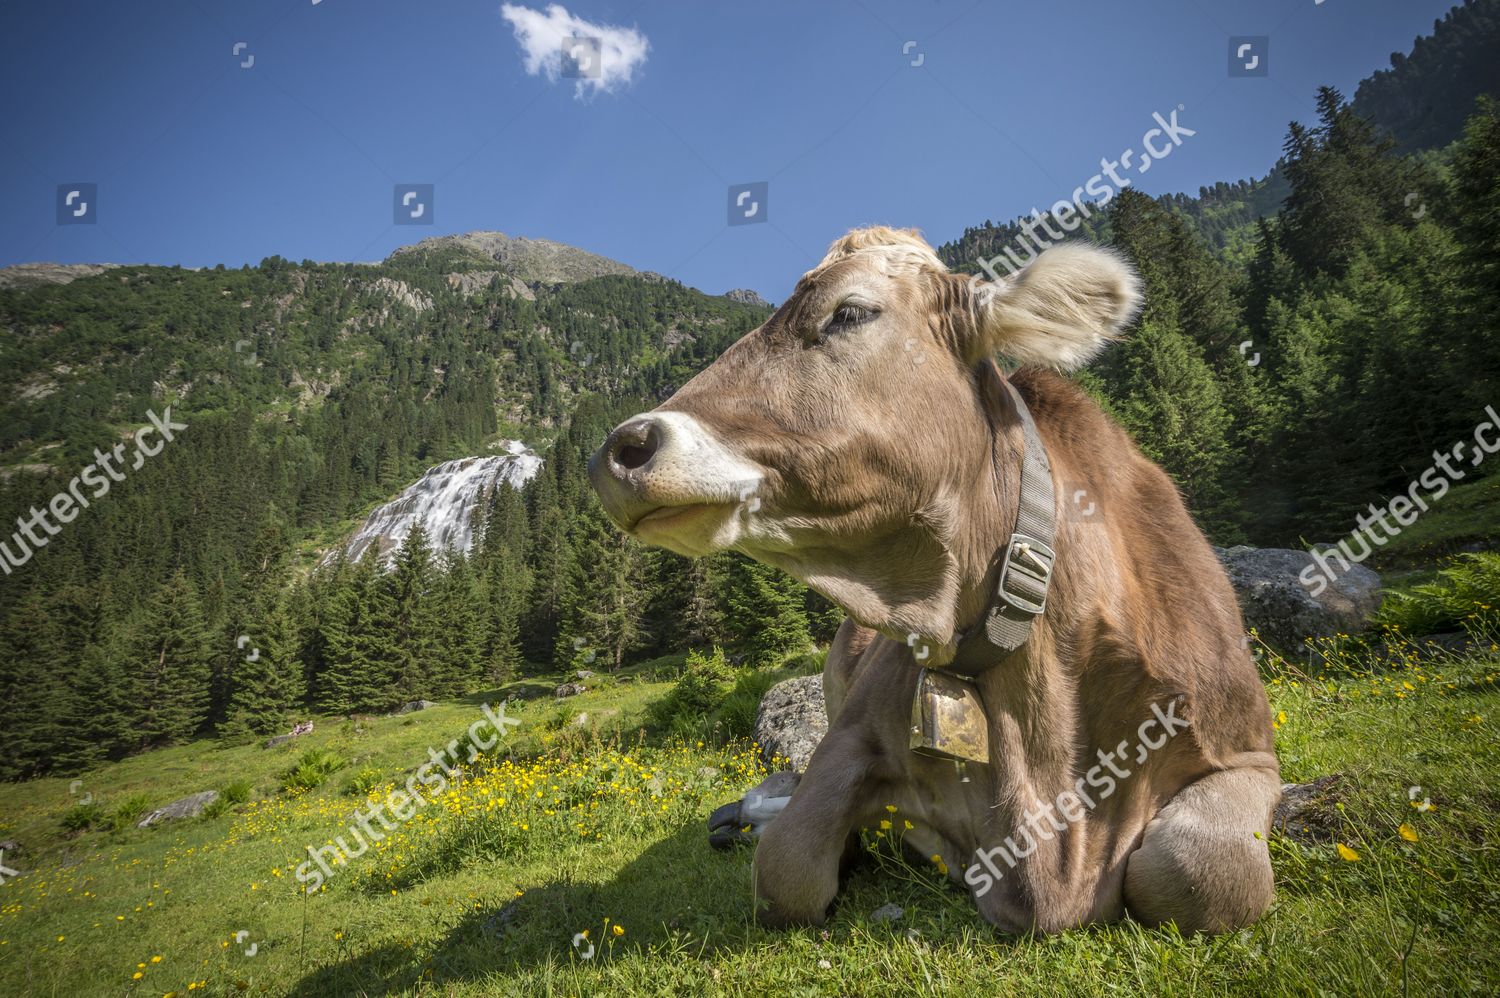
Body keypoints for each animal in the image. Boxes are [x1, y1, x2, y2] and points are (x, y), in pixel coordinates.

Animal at [588, 226, 1279, 935]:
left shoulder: (1248, 747)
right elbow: (788, 867)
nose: (621, 448)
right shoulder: (853, 733)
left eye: (850, 312)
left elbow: (1196, 870)